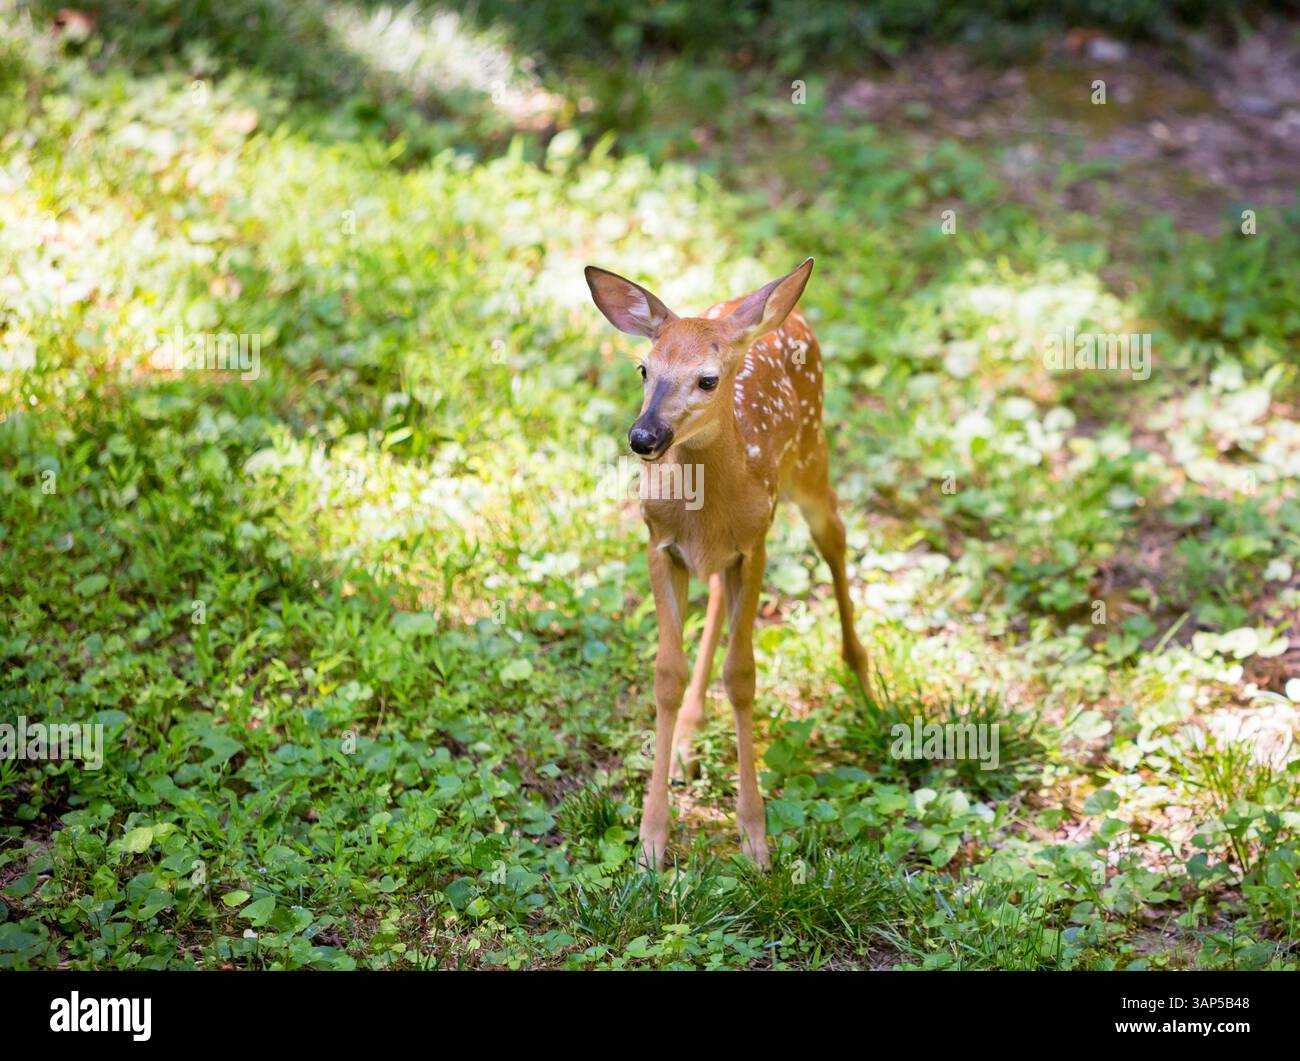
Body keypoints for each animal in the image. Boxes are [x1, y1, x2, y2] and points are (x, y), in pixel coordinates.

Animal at [584, 257, 870, 870]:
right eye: (643, 369)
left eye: (708, 380)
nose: (644, 437)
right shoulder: (661, 545)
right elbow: (666, 674)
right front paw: (651, 840)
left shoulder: (755, 543)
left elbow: (742, 677)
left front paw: (756, 840)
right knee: (716, 594)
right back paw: (689, 740)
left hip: (811, 458)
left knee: (835, 538)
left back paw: (864, 683)